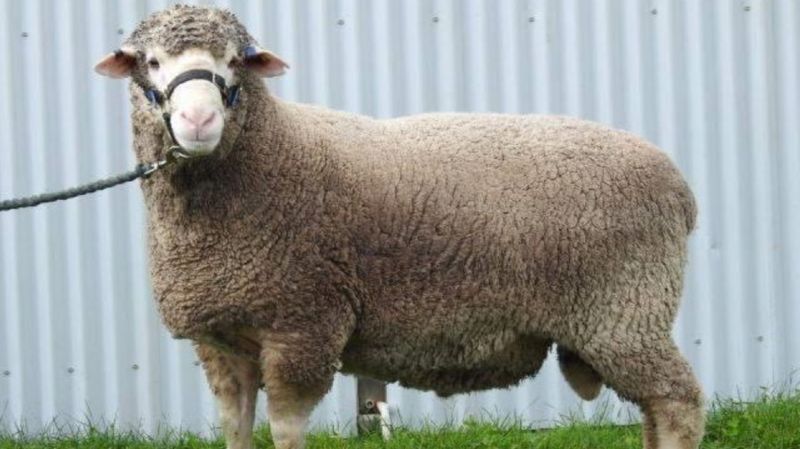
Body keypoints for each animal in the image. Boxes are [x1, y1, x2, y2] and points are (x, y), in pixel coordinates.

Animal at [93, 5, 703, 449]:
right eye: (150, 62)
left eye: (236, 60)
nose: (198, 120)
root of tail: (678, 185)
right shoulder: (220, 337)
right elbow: (234, 430)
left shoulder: (305, 323)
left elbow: (286, 430)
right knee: (655, 408)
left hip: (624, 309)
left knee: (679, 402)